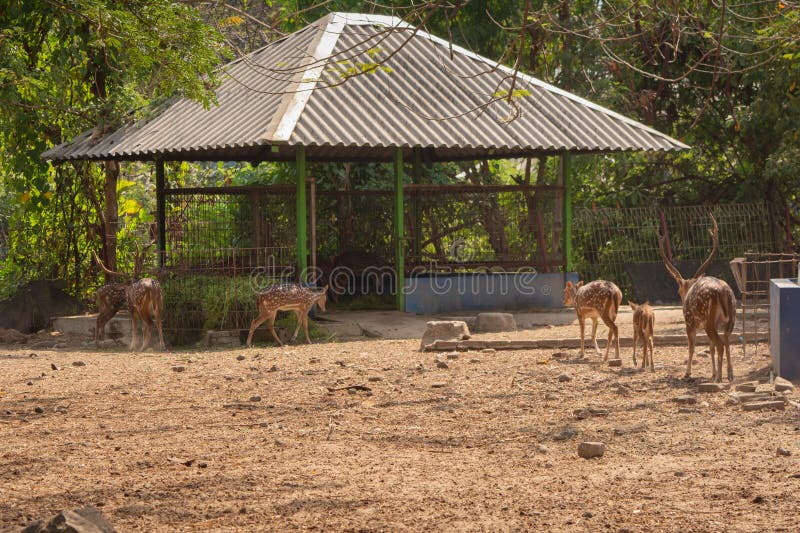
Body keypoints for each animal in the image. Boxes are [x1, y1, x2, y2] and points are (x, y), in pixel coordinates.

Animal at [657, 214, 736, 382]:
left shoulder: (689, 322)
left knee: (720, 343)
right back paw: (729, 375)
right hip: (731, 318)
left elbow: (691, 346)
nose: (681, 297)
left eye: (679, 290)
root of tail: (723, 292)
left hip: (708, 320)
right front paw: (712, 372)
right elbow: (710, 347)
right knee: (726, 341)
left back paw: (719, 378)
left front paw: (687, 373)